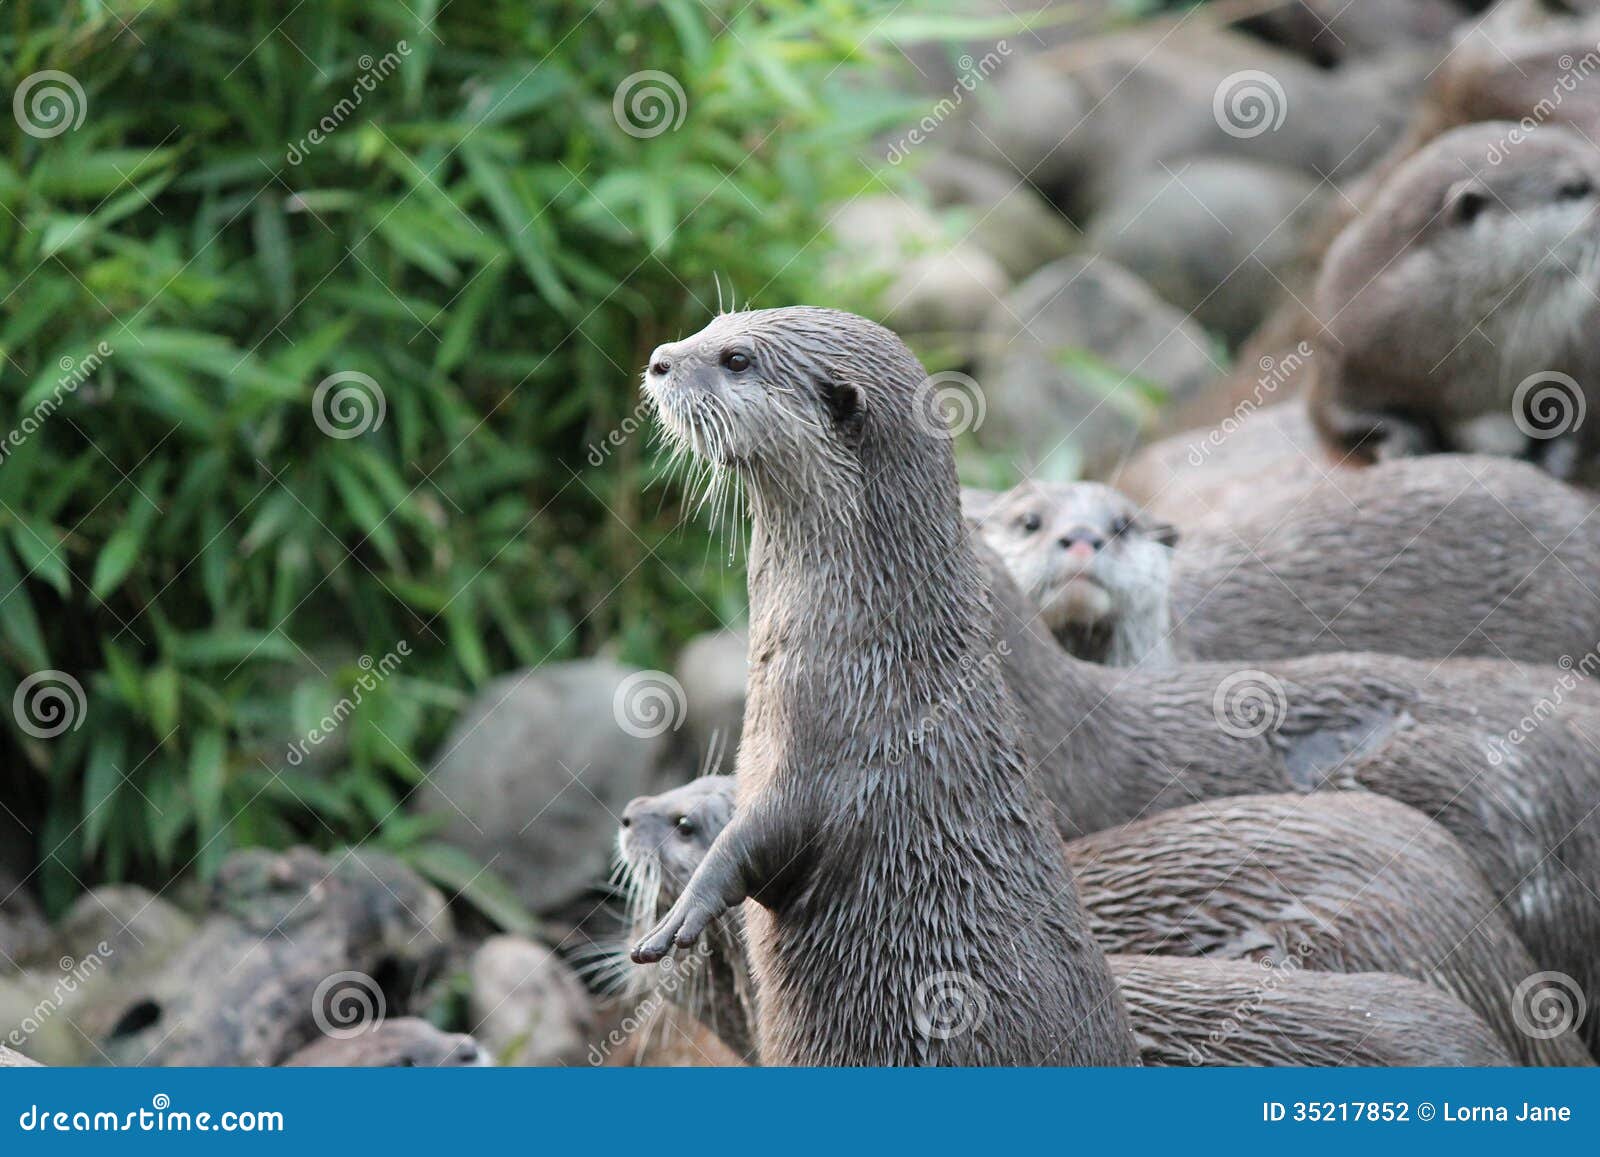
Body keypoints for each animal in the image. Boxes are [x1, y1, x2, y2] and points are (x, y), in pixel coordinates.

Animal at [633, 306, 1140, 1066]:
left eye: (737, 359)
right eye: (715, 323)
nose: (660, 359)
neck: (873, 656)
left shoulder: (826, 752)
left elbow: (758, 840)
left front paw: (681, 912)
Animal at [1308, 121, 1600, 478]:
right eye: (1574, 188)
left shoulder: (1584, 343)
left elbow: (1583, 418)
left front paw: (1551, 462)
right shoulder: (1344, 331)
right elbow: (1334, 412)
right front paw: (1400, 438)